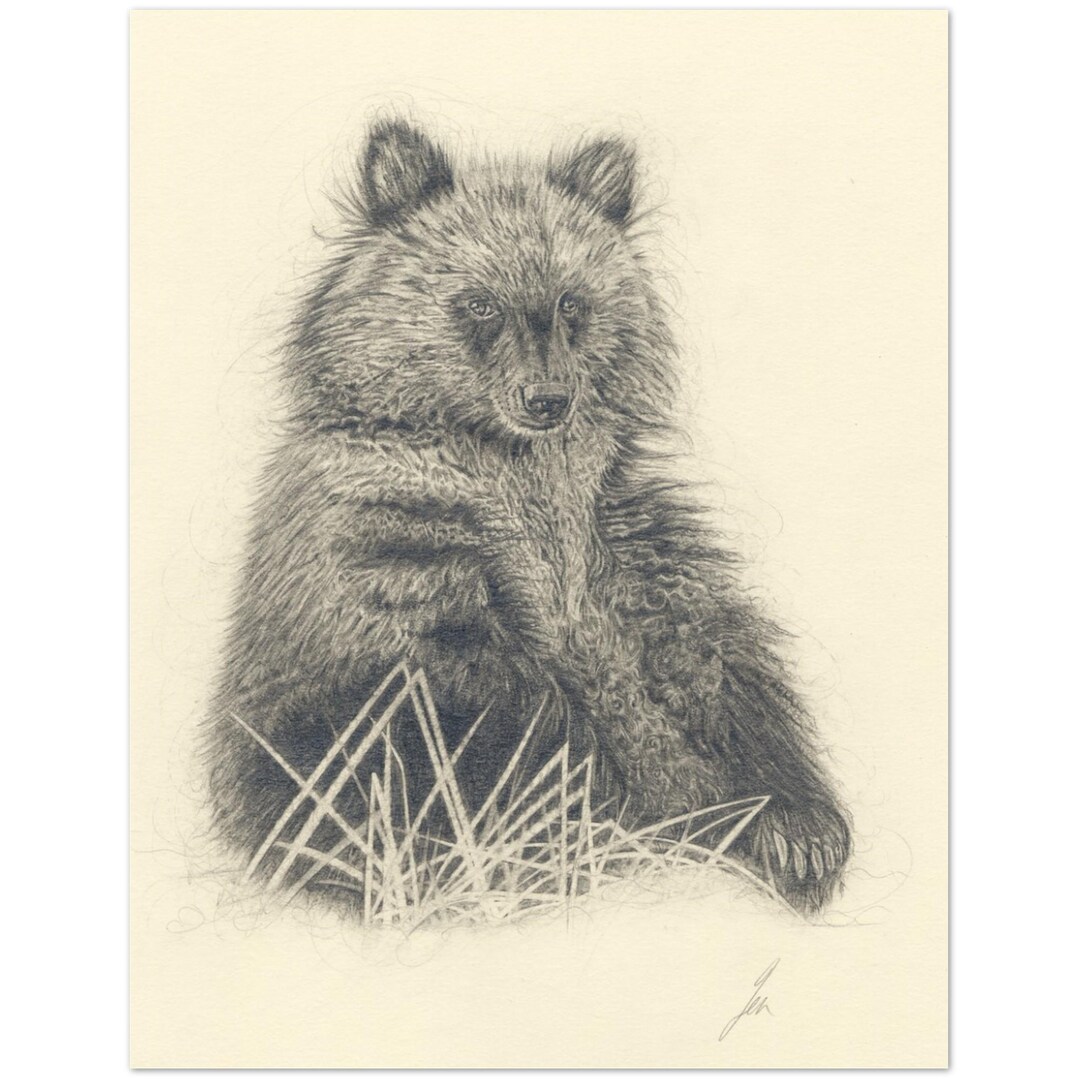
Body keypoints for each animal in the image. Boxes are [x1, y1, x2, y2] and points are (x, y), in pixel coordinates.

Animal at [203, 118, 852, 915]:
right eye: (481, 302)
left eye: (572, 301)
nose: (547, 399)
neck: (516, 469)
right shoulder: (396, 566)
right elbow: (470, 722)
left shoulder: (629, 555)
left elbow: (719, 673)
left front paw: (800, 830)